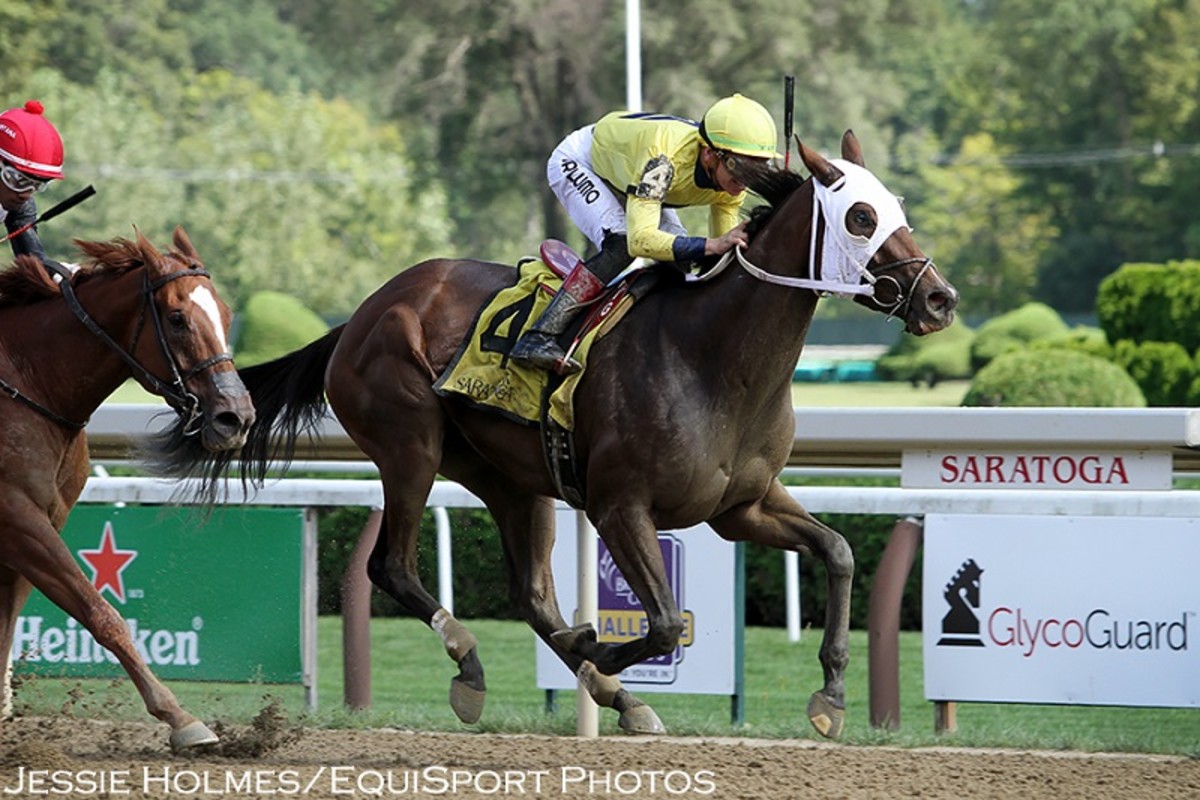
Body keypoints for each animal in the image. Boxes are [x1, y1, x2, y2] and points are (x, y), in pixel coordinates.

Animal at [0, 227, 255, 750]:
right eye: (177, 318)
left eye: (225, 314)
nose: (235, 417)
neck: (30, 381)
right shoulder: (17, 518)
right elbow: (103, 614)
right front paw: (182, 719)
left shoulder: (41, 520)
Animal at [168, 130, 958, 739]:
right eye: (859, 217)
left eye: (899, 208)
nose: (940, 298)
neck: (712, 361)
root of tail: (363, 312)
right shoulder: (620, 505)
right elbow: (663, 624)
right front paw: (601, 654)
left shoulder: (741, 507)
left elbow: (840, 552)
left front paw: (830, 695)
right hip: (409, 445)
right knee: (390, 567)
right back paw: (479, 664)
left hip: (511, 479)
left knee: (533, 594)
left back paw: (616, 697)